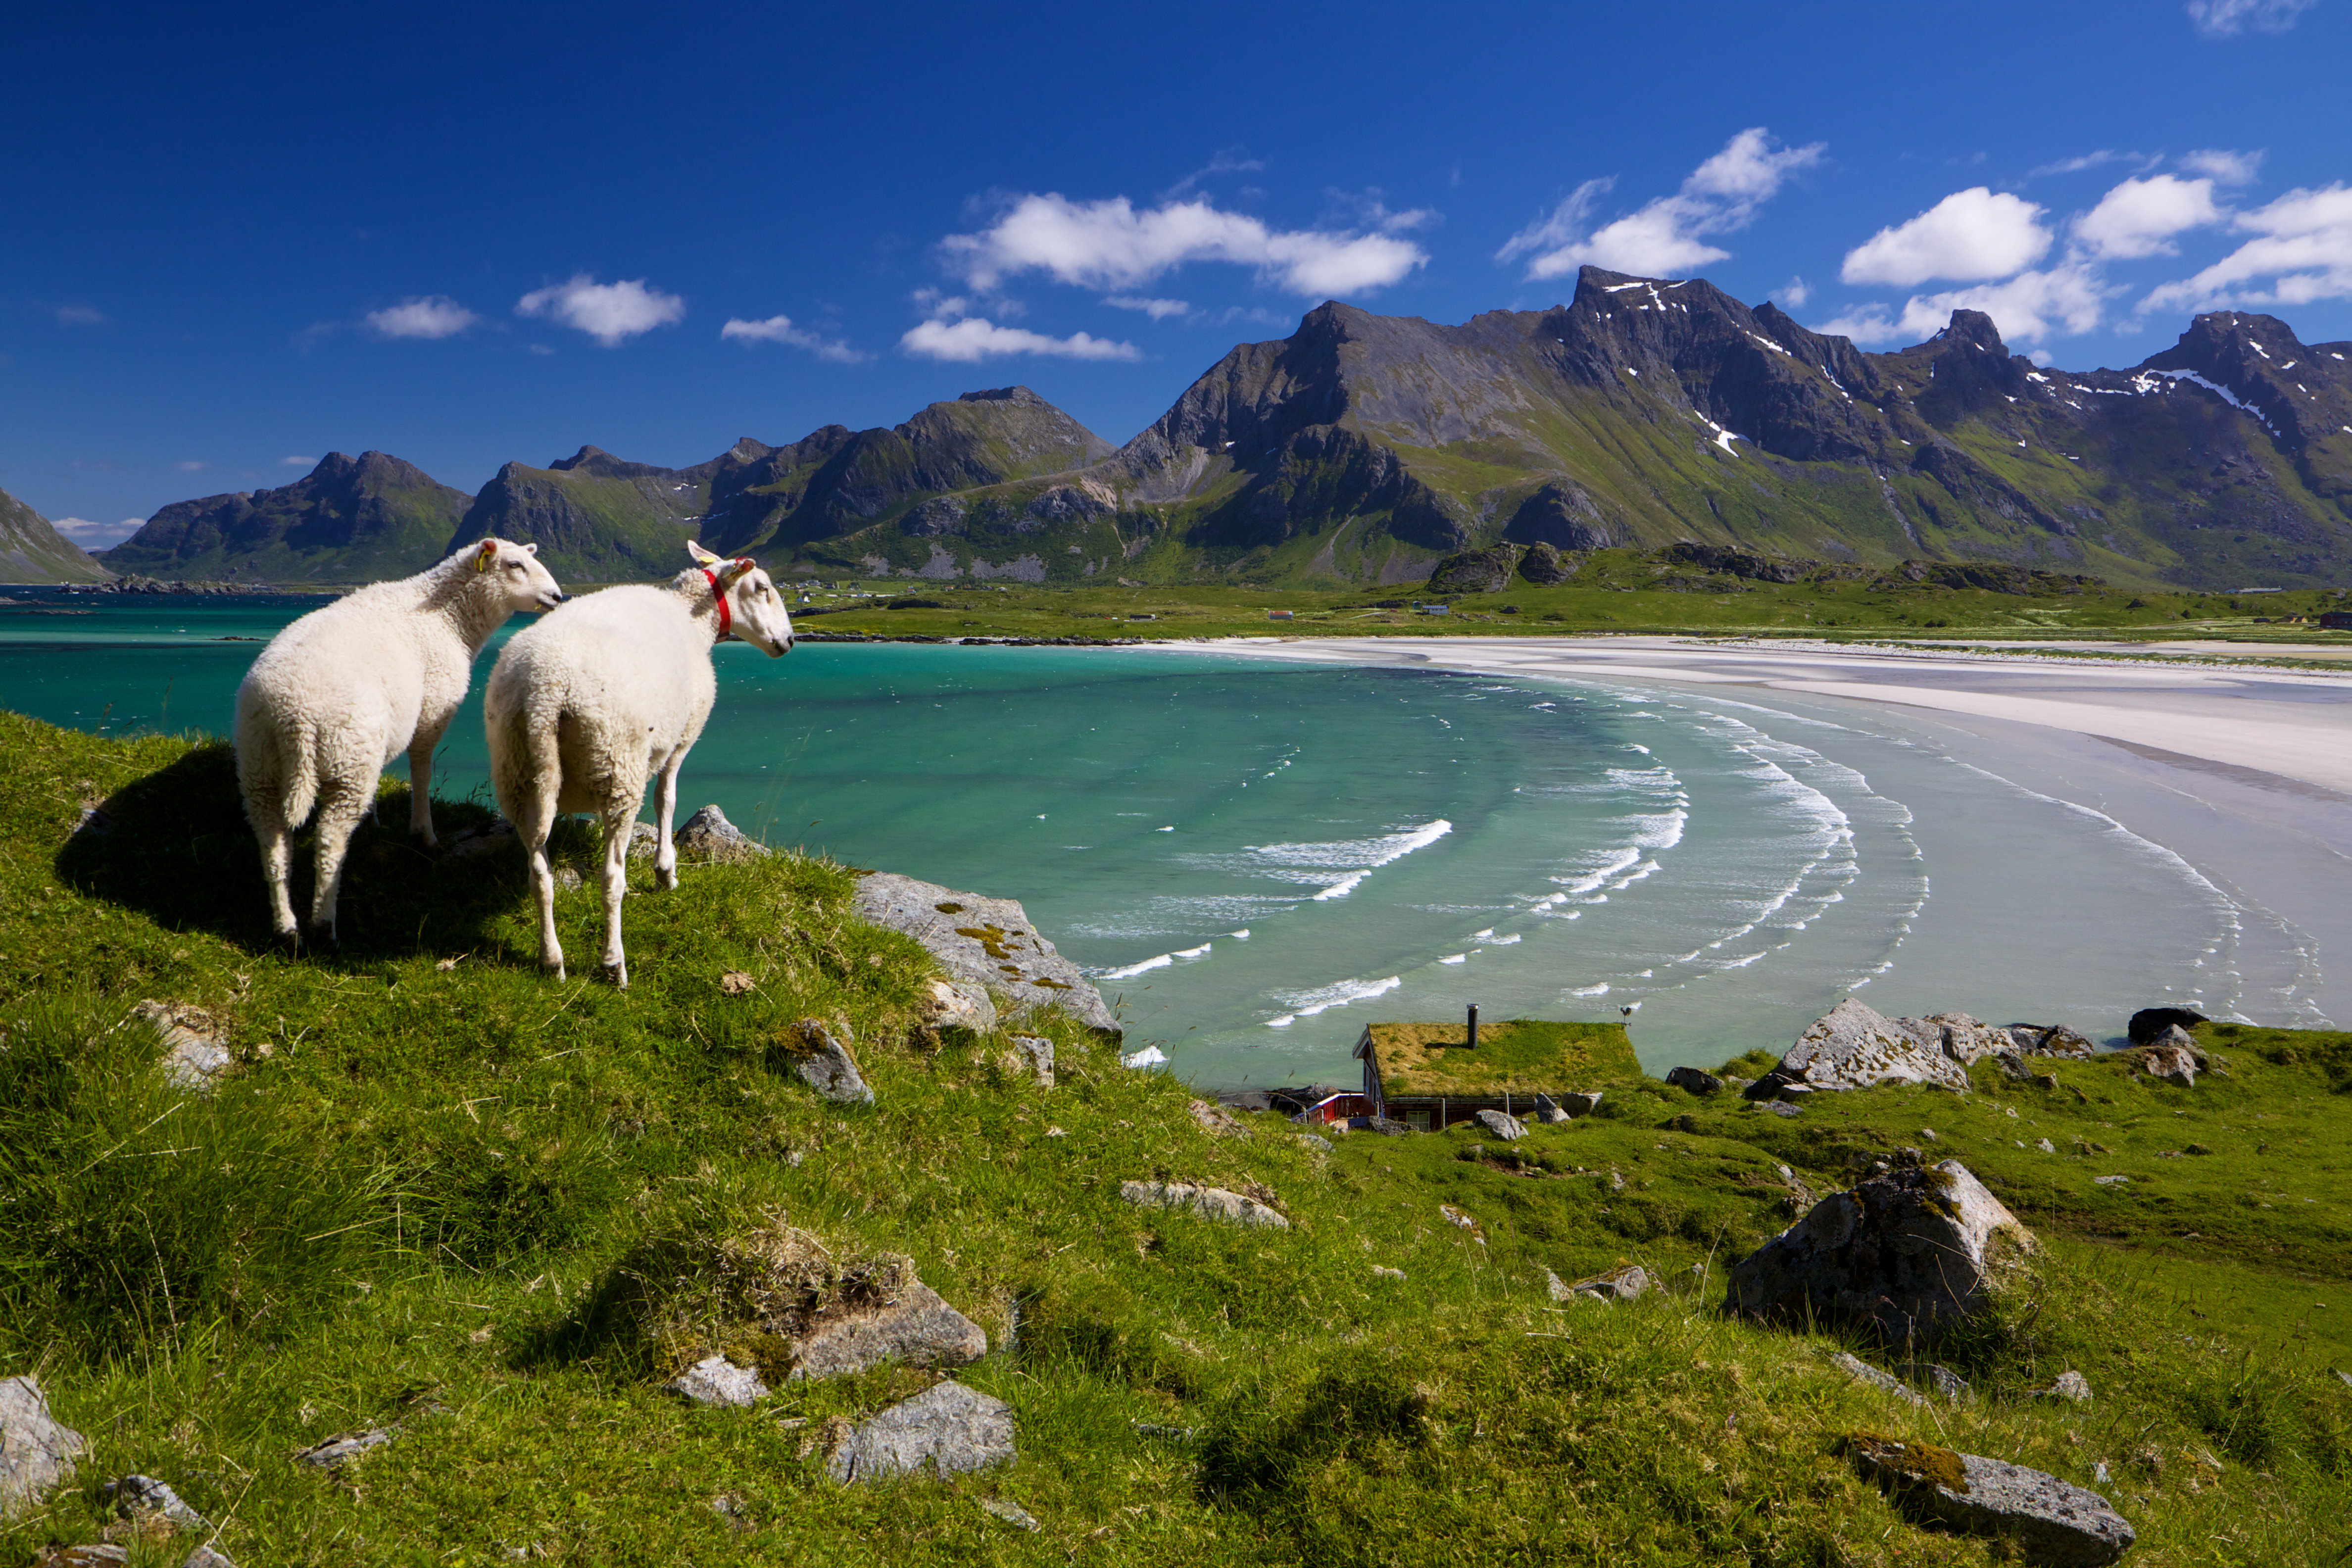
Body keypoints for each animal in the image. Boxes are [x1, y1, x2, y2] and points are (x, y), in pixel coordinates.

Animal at [235, 537, 567, 947]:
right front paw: (424, 834)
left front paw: (375, 818)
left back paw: (286, 927)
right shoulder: (433, 708)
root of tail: (293, 715)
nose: (557, 596)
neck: (449, 621)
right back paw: (325, 926)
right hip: (344, 761)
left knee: (273, 843)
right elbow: (422, 770)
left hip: (264, 764)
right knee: (330, 842)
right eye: (515, 565)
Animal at [484, 540, 795, 985]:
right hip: (619, 766)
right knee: (612, 878)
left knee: (539, 877)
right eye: (763, 588)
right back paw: (614, 964)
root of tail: (545, 692)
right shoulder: (680, 738)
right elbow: (667, 798)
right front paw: (666, 872)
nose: (789, 640)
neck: (692, 617)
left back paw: (552, 960)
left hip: (518, 773)